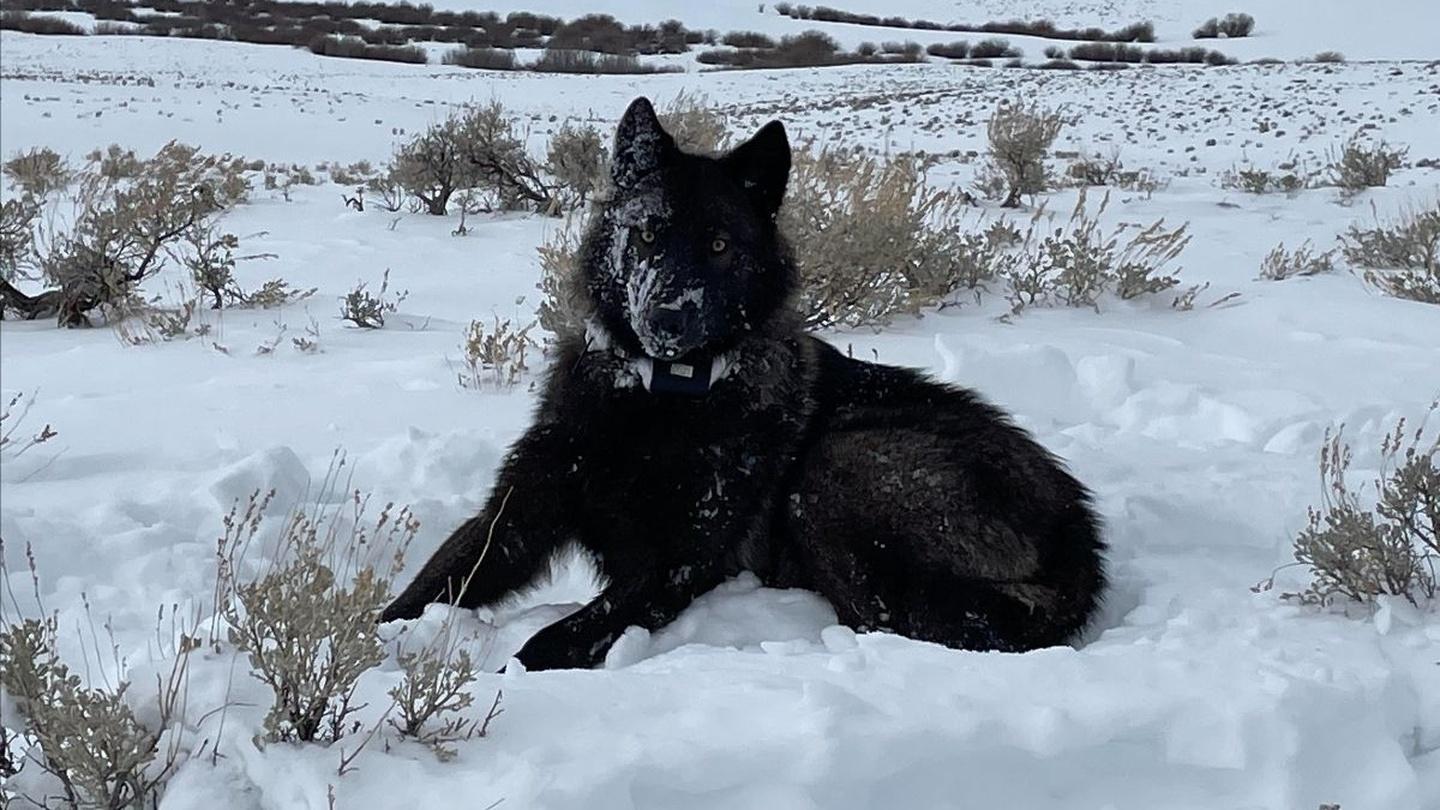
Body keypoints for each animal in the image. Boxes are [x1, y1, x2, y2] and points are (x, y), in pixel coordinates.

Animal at [381, 98, 1106, 670]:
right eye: (648, 233)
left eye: (720, 245)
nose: (667, 315)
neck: (659, 401)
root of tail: (1079, 537)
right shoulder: (516, 517)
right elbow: (424, 590)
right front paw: (372, 649)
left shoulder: (679, 563)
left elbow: (554, 641)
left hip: (838, 467)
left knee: (898, 618)